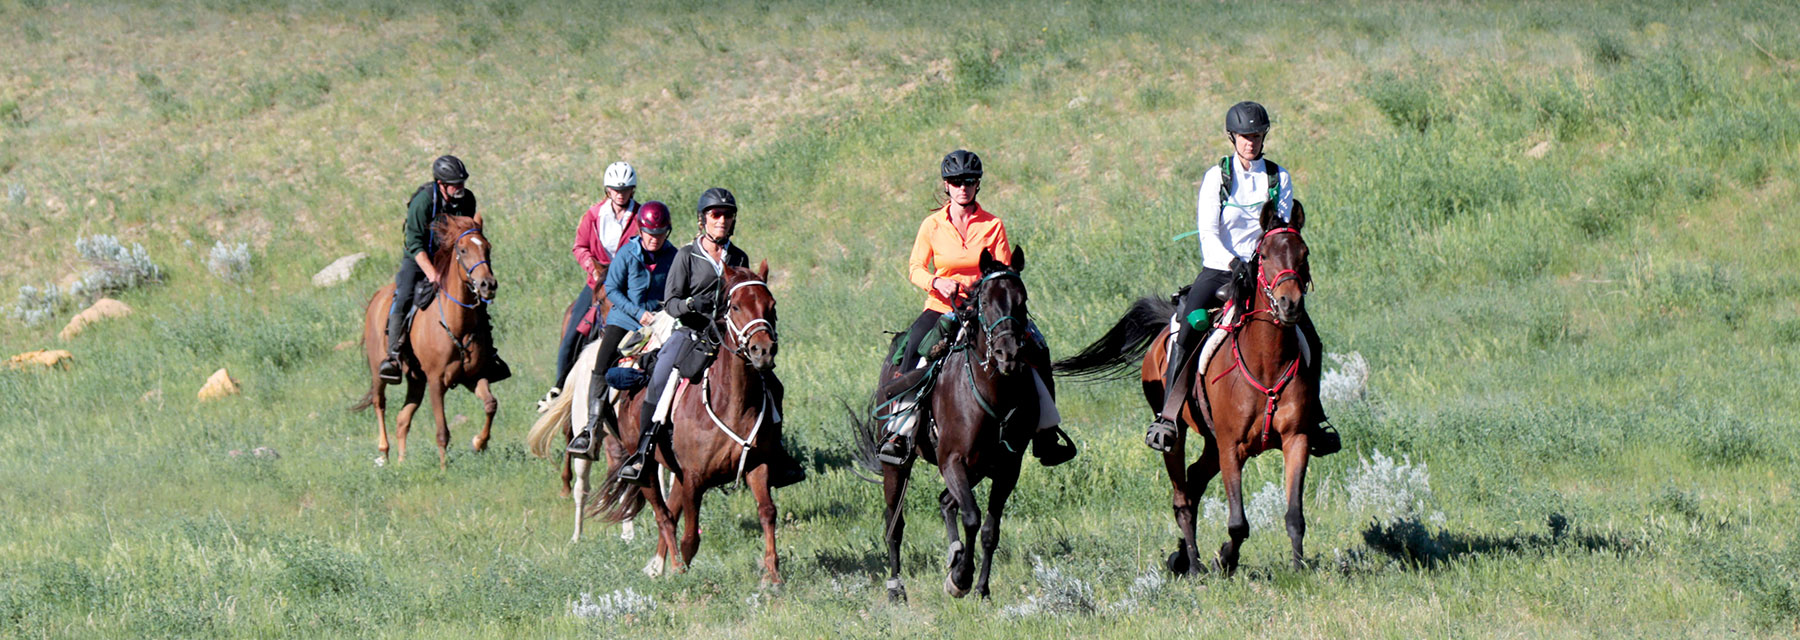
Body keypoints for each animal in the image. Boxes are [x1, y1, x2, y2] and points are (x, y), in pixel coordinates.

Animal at [352, 215, 501, 469]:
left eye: (487, 247)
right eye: (463, 250)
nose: (487, 285)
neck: (455, 324)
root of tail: (376, 297)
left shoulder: (473, 376)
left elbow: (491, 404)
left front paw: (479, 443)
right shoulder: (435, 382)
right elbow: (442, 432)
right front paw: (443, 469)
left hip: (416, 380)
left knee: (402, 418)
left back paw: (402, 462)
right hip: (379, 371)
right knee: (379, 403)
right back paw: (384, 453)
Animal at [594, 262, 792, 583]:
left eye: (771, 305)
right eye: (735, 306)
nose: (762, 350)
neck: (733, 401)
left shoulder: (756, 465)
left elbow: (767, 512)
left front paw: (772, 576)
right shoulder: (695, 478)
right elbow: (690, 537)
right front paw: (682, 572)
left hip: (677, 473)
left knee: (671, 514)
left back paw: (658, 565)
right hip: (647, 469)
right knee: (664, 516)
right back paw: (669, 566)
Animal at [851, 248, 1041, 602]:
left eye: (1021, 300)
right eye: (985, 301)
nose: (1007, 354)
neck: (992, 392)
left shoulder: (1007, 468)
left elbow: (990, 529)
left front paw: (980, 588)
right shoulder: (952, 460)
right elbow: (972, 516)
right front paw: (961, 580)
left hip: (979, 467)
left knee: (944, 502)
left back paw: (954, 554)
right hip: (898, 464)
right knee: (894, 524)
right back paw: (896, 588)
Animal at [1055, 203, 1316, 576]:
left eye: (1303, 254)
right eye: (1263, 255)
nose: (1288, 304)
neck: (1267, 361)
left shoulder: (1297, 439)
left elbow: (1294, 514)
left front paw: (1297, 568)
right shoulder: (1231, 446)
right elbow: (1238, 523)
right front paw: (1225, 559)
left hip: (1211, 443)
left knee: (1194, 482)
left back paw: (1182, 556)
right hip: (1177, 436)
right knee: (1182, 498)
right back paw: (1192, 565)